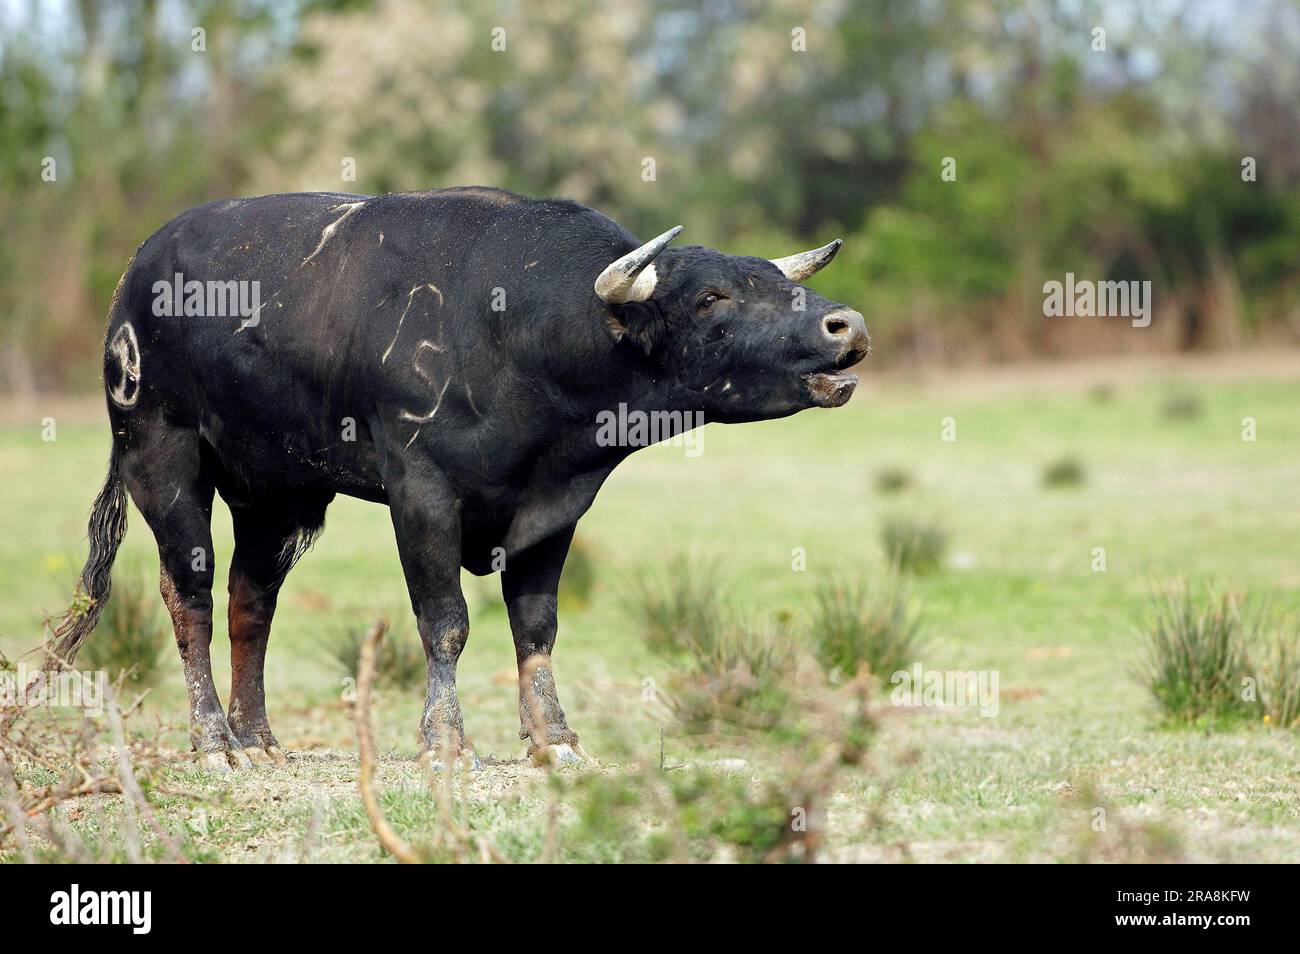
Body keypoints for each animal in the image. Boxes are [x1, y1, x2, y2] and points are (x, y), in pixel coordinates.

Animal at [46, 187, 868, 772]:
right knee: (188, 596)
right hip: (161, 458)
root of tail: (136, 275)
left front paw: (556, 738)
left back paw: (259, 738)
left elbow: (536, 626)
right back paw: (214, 741)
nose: (848, 326)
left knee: (252, 600)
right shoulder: (421, 492)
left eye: (770, 278)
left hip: (276, 494)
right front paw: (445, 739)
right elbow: (445, 621)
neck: (521, 335)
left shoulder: (554, 510)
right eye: (711, 297)